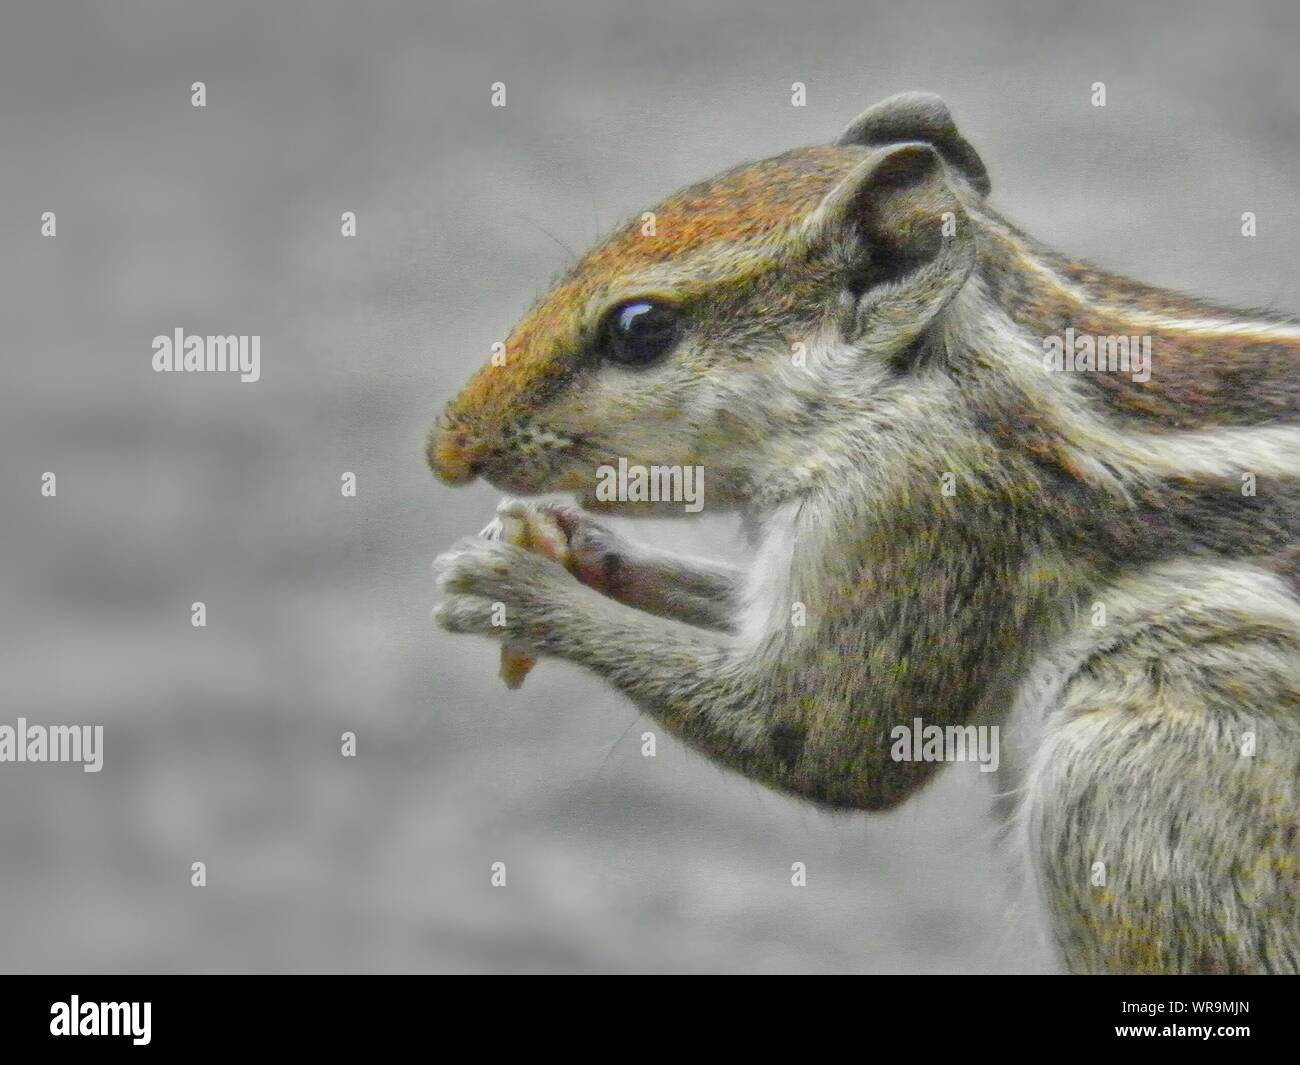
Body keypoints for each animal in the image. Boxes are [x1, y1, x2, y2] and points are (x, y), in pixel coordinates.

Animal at [427, 92, 1300, 974]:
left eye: (639, 328)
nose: (446, 450)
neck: (939, 373)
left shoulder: (917, 508)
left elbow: (825, 741)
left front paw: (511, 588)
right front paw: (573, 545)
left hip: (1120, 784)